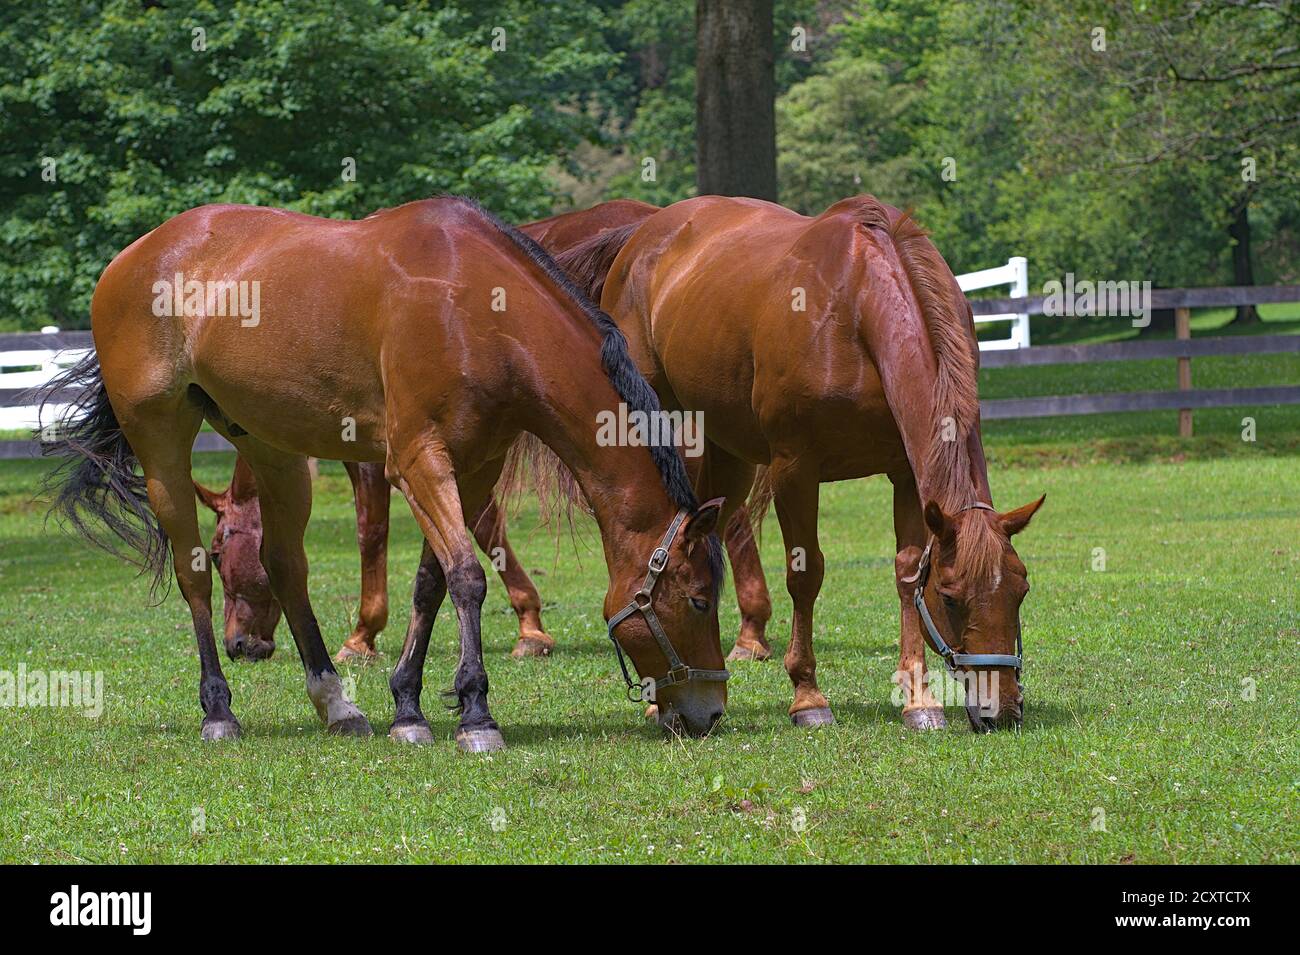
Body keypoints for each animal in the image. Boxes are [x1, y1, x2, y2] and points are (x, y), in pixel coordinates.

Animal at [44, 196, 729, 749]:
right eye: (698, 600)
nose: (712, 709)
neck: (476, 308)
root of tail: (134, 256)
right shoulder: (417, 462)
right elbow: (467, 577)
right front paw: (476, 713)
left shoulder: (474, 467)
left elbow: (433, 581)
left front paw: (408, 706)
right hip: (161, 443)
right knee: (192, 576)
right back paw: (219, 711)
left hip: (272, 449)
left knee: (285, 568)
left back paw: (336, 705)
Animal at [556, 195, 1044, 731]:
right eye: (952, 597)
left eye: (1021, 590)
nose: (1002, 710)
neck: (855, 306)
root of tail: (644, 232)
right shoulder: (795, 470)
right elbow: (806, 574)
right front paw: (808, 697)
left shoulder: (905, 473)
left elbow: (906, 571)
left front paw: (918, 698)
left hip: (731, 457)